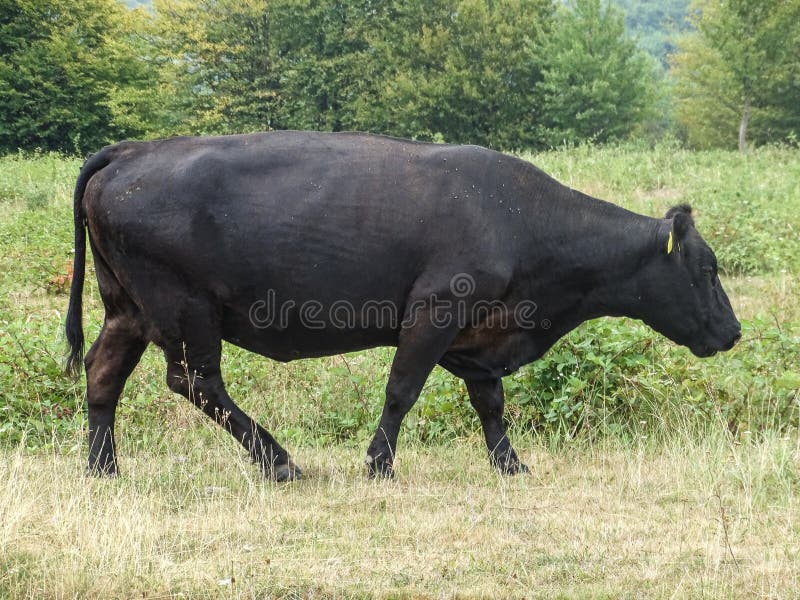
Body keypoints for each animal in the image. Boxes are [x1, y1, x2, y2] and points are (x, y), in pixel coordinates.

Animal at [65, 131, 741, 481]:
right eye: (707, 269)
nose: (733, 331)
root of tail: (130, 152)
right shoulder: (434, 312)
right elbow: (402, 389)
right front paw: (379, 465)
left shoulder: (477, 338)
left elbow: (490, 402)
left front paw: (510, 465)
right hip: (185, 310)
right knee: (196, 382)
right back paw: (279, 461)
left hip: (126, 307)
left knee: (104, 374)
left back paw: (103, 469)